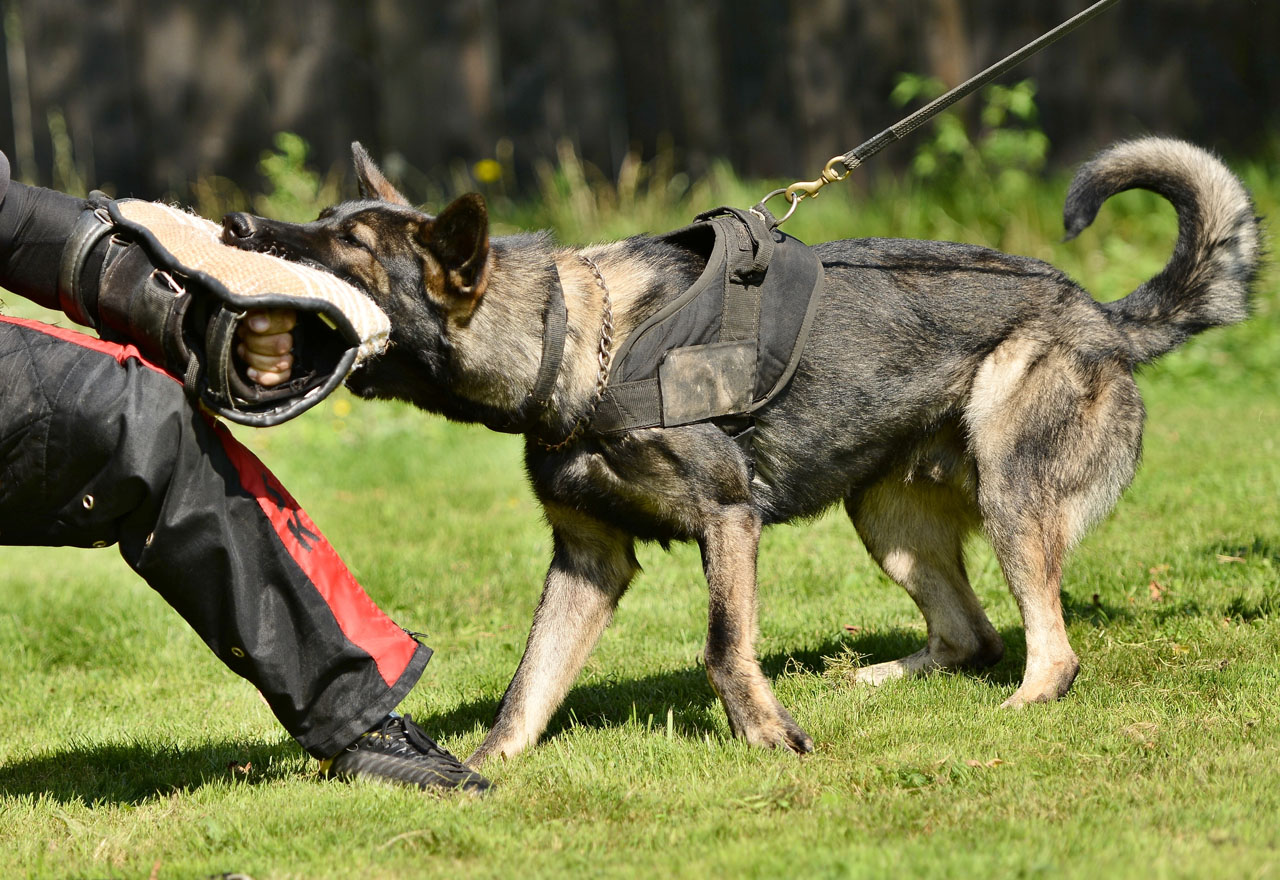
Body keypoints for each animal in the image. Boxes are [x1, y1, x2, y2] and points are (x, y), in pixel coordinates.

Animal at [222, 137, 1259, 762]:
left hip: (1011, 498)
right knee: (973, 635)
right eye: (322, 220)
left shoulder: (728, 522)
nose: (236, 224)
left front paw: (766, 737)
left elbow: (725, 646)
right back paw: (883, 679)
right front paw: (485, 773)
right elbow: (529, 687)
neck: (581, 344)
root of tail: (1100, 315)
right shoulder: (588, 560)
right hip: (887, 526)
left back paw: (1018, 711)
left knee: (1049, 648)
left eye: (350, 246)